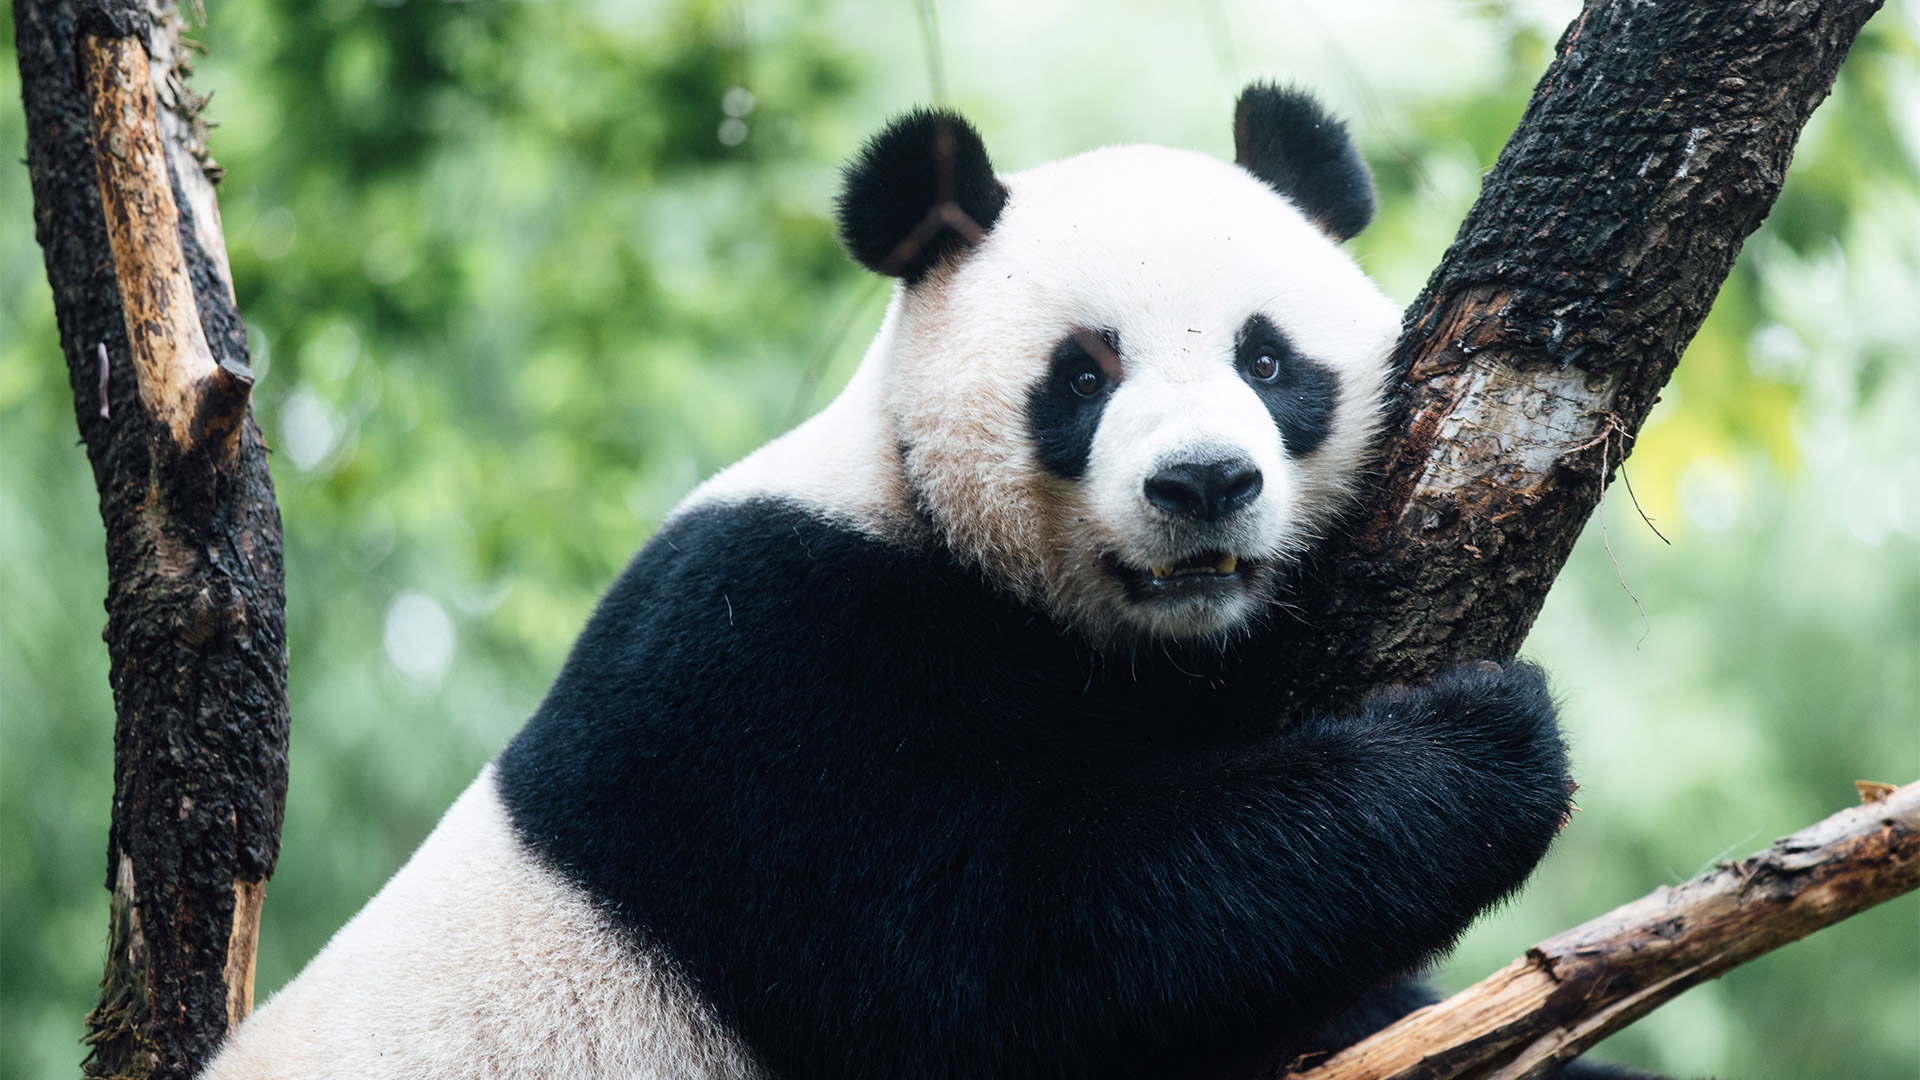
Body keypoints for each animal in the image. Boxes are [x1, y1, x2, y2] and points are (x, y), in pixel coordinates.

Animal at [205, 85, 1660, 1080]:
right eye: (1083, 374)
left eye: (1268, 359)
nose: (1202, 484)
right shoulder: (766, 660)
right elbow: (991, 971)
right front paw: (1481, 746)